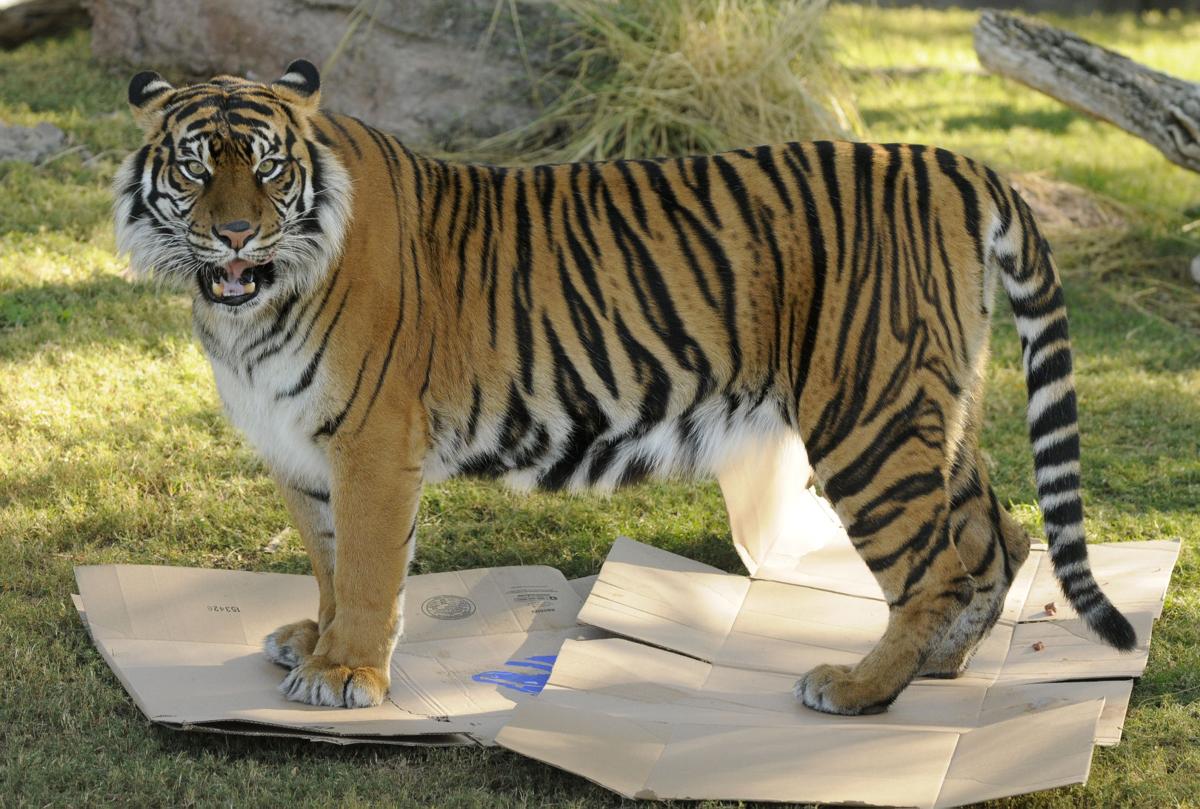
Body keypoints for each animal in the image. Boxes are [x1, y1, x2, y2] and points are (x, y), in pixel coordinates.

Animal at [114, 59, 1136, 716]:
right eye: (197, 168)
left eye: (268, 167)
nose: (237, 234)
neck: (249, 308)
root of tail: (949, 161)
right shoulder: (301, 449)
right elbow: (327, 563)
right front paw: (315, 643)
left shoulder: (369, 444)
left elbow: (365, 570)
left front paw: (344, 675)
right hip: (929, 405)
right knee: (999, 536)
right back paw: (941, 669)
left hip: (866, 416)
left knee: (936, 567)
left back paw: (855, 687)